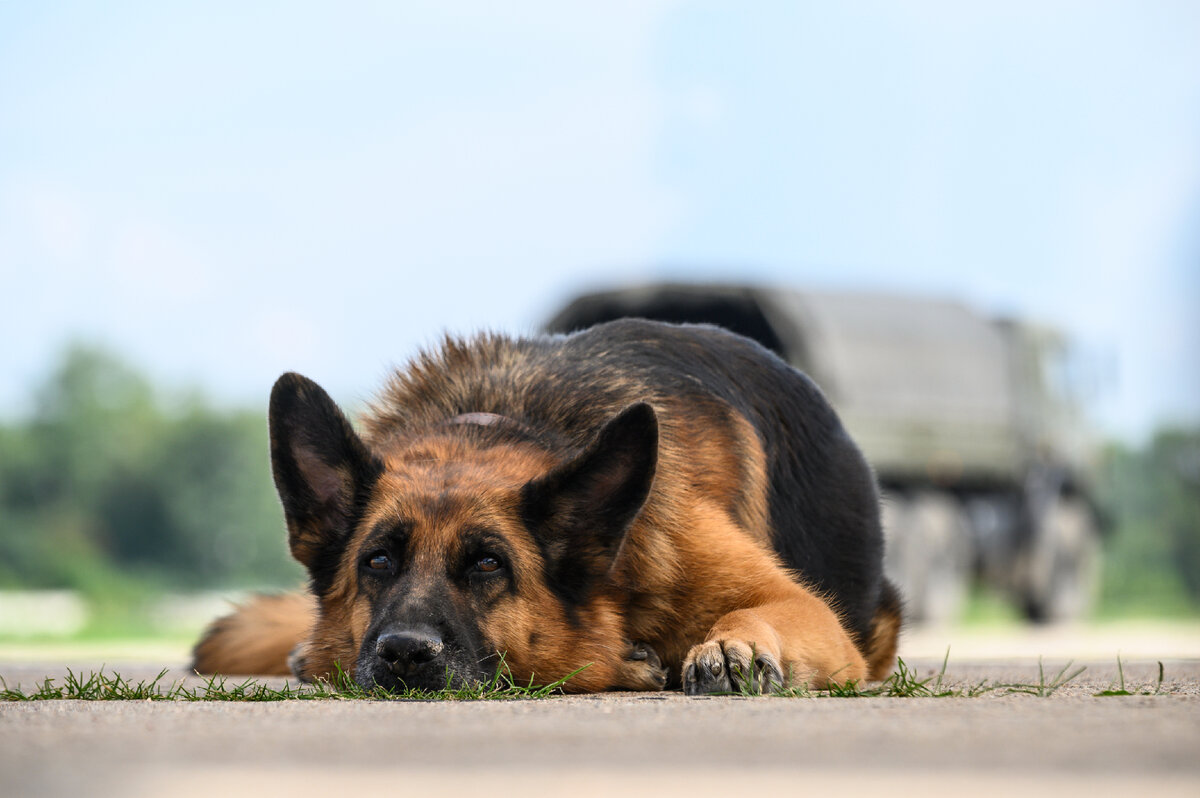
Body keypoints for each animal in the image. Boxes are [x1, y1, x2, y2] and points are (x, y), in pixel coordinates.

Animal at [192, 316, 902, 691]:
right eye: (377, 562)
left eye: (488, 565)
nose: (404, 654)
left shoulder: (810, 614)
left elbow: (763, 609)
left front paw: (734, 644)